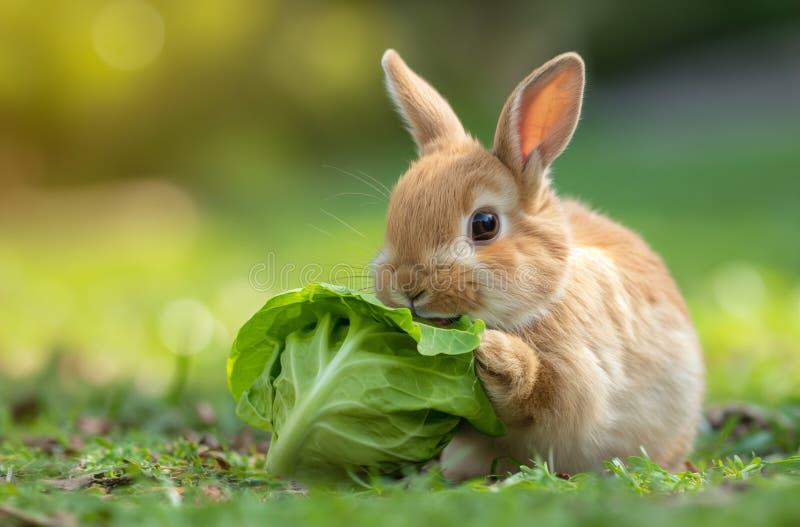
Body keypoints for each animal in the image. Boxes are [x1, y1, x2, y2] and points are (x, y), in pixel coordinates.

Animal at [371, 49, 705, 479]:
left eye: (485, 224)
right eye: (392, 218)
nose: (408, 287)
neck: (543, 298)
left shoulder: (575, 378)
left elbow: (543, 393)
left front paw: (492, 353)